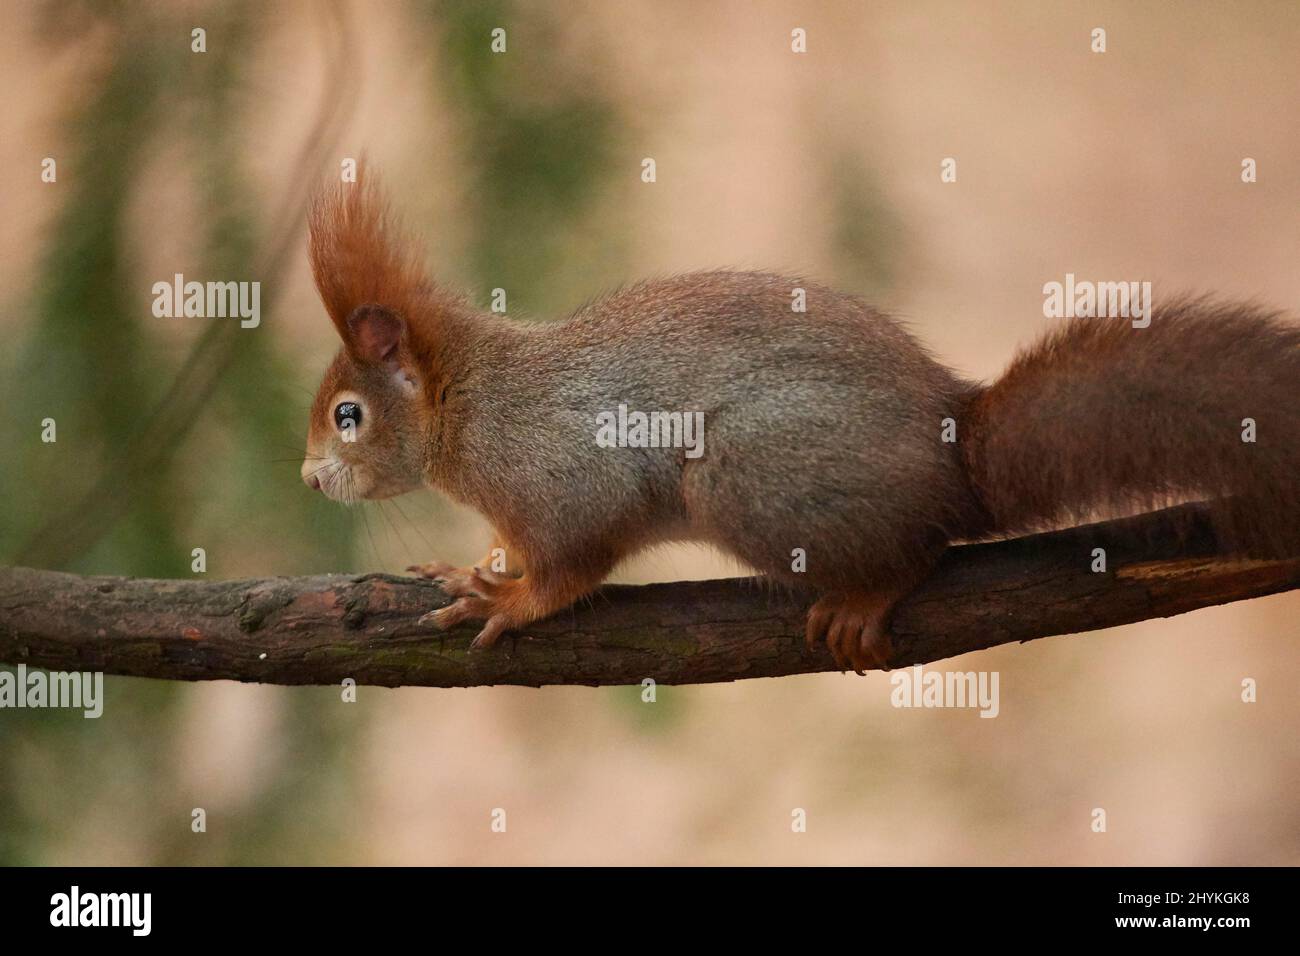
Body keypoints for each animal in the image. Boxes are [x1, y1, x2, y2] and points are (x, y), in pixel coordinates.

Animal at [301, 173, 1300, 673]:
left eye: (349, 415)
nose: (309, 479)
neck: (472, 403)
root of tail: (956, 448)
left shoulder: (565, 474)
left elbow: (574, 561)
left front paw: (509, 598)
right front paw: (481, 565)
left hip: (746, 475)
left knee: (921, 544)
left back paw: (872, 589)